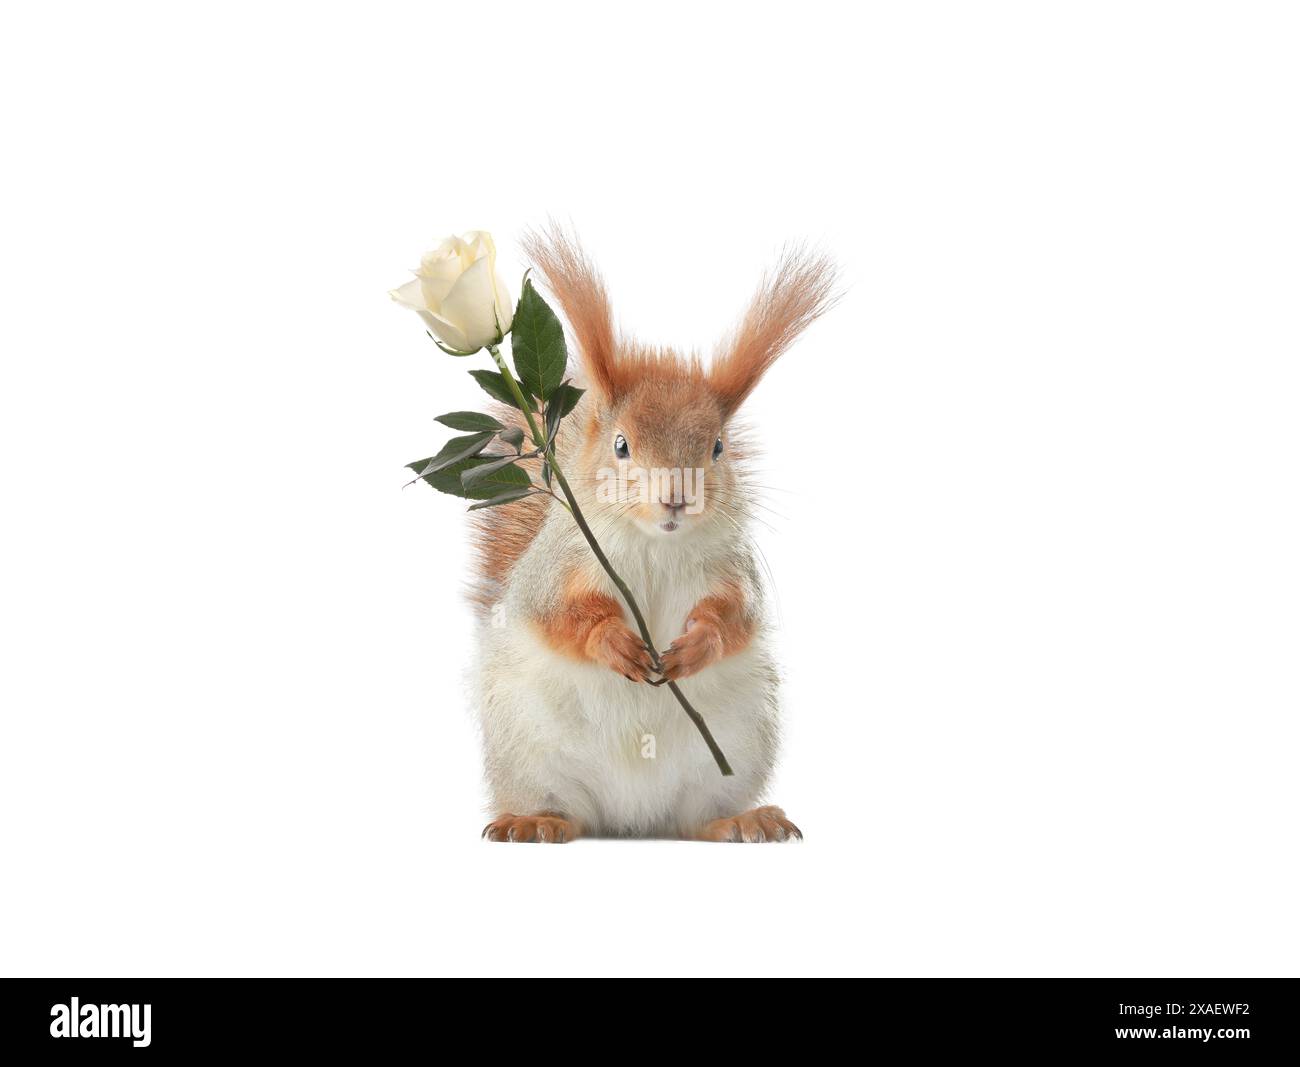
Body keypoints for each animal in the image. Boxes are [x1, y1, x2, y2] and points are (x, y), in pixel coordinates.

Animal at [473, 229, 836, 842]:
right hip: (529, 750)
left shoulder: (733, 570)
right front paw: (613, 642)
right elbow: (555, 613)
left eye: (718, 447)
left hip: (734, 751)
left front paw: (698, 643)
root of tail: (630, 818)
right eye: (621, 445)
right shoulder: (557, 564)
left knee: (697, 817)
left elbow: (737, 617)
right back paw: (535, 821)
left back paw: (743, 820)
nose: (676, 496)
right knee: (562, 805)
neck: (656, 544)